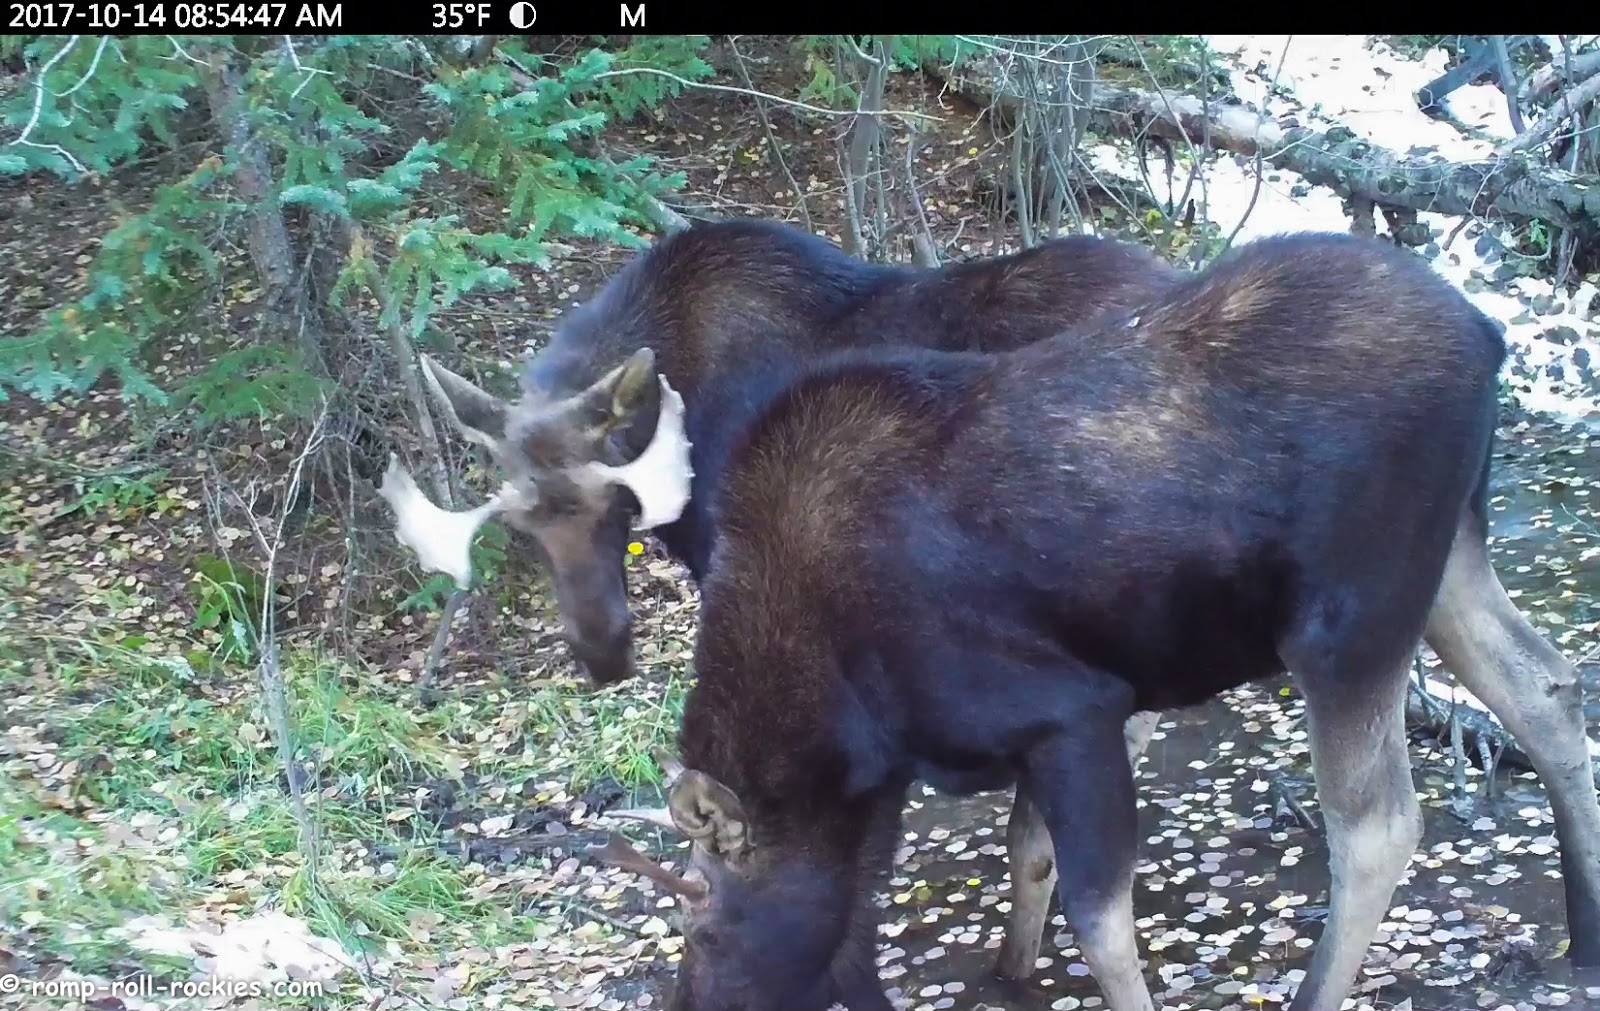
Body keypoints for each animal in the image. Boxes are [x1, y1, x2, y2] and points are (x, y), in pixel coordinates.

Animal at [574, 231, 1600, 1011]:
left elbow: (1099, 915)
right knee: (1547, 687)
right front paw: (1009, 968)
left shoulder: (1076, 708)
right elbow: (1021, 857)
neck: (847, 720)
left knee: (1378, 822)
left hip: (1348, 619)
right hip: (1450, 557)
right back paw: (1585, 936)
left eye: (703, 924)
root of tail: (1490, 333)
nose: (689, 1002)